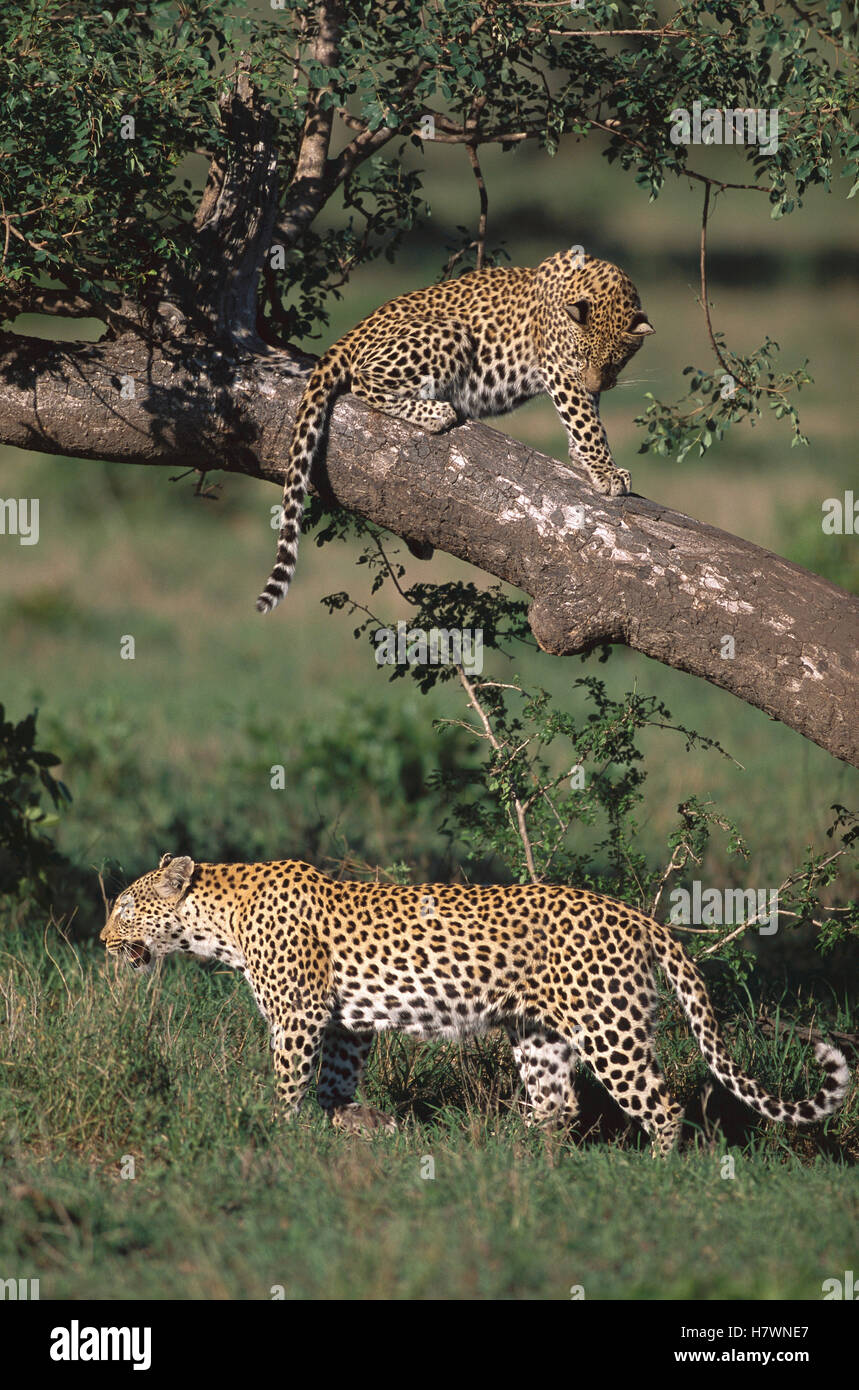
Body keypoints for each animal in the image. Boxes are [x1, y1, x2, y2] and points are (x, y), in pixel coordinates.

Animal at [100, 854, 849, 1155]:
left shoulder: (299, 1017)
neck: (217, 920)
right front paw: (354, 1125)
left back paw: (660, 1179)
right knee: (557, 1103)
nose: (103, 940)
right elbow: (335, 1082)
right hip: (540, 1033)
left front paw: (279, 1133)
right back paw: (505, 1154)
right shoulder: (347, 1023)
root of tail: (636, 916)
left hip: (609, 1026)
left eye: (124, 907)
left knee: (661, 1106)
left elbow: (289, 1085)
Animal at [256, 248, 654, 614]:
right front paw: (605, 471)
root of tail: (353, 332)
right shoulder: (560, 369)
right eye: (582, 356)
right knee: (362, 380)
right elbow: (586, 420)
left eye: (616, 362)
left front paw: (582, 458)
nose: (595, 381)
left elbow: (589, 414)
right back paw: (438, 413)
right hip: (448, 332)